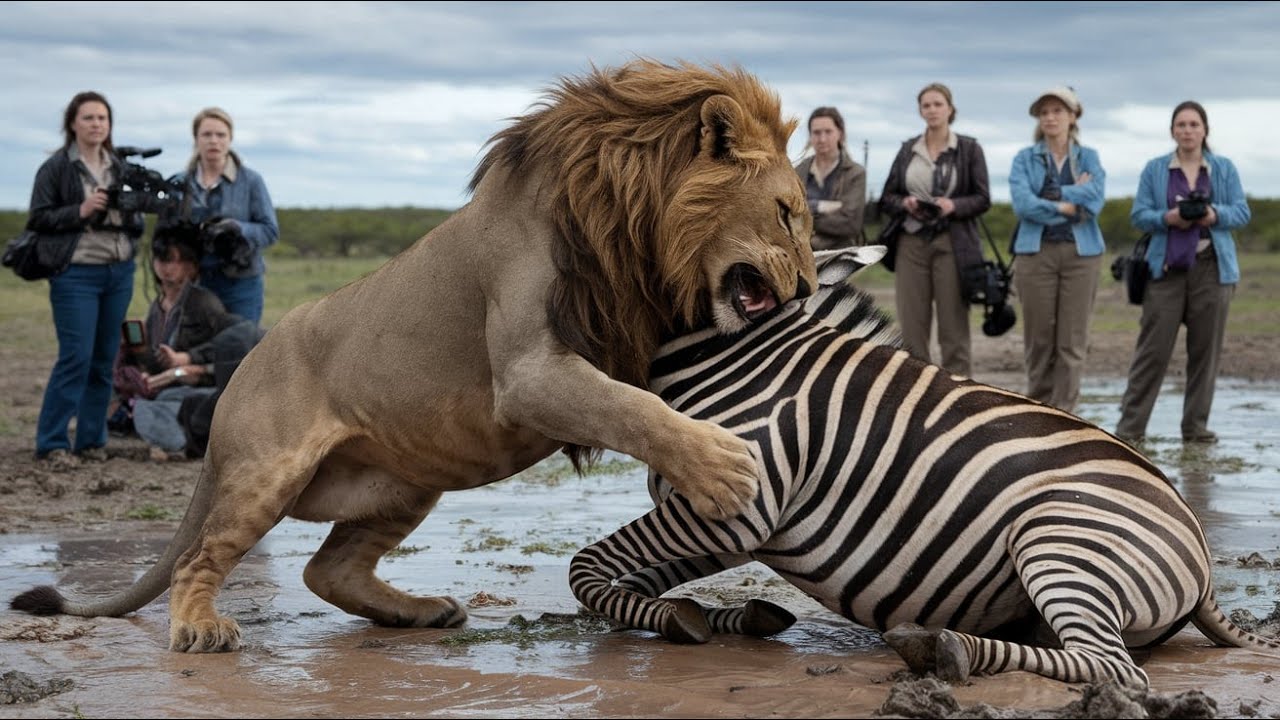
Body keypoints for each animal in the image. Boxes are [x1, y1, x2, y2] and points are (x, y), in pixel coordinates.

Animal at [11, 59, 817, 653]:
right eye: (786, 212)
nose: (809, 287)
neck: (630, 222)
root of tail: (242, 373)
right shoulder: (528, 373)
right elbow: (631, 407)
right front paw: (722, 471)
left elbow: (639, 401)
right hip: (268, 471)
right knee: (199, 557)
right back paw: (201, 628)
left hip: (406, 483)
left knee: (327, 569)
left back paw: (420, 611)